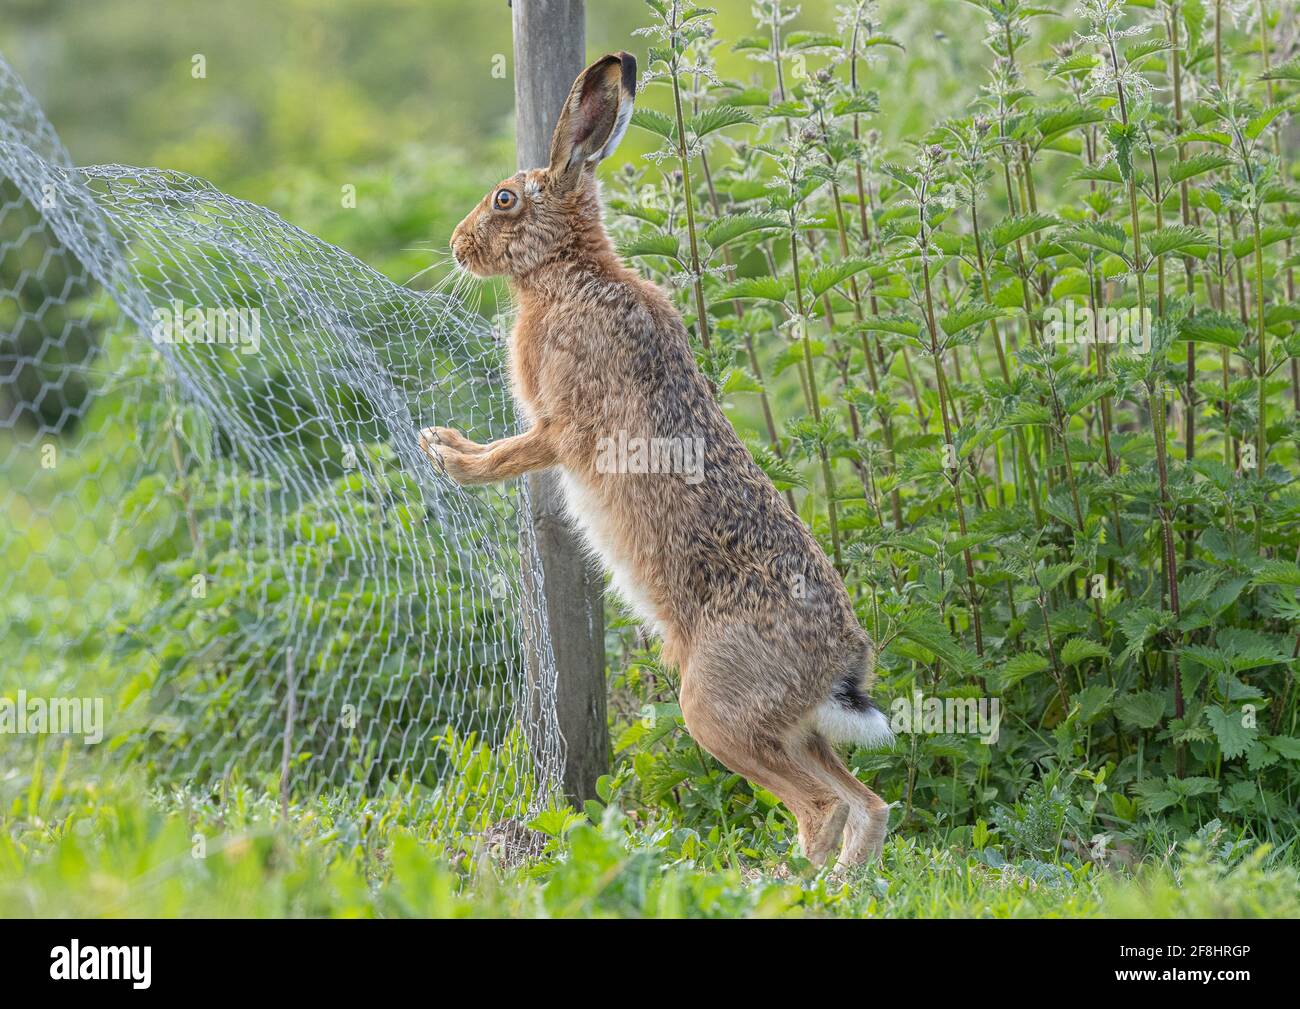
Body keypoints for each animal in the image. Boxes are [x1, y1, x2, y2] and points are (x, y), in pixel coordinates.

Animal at [419, 51, 892, 867]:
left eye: (505, 199)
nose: (457, 245)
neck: (568, 272)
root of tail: (842, 664)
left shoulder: (564, 424)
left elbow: (512, 453)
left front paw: (447, 456)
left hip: (716, 710)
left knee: (823, 807)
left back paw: (785, 881)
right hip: (793, 730)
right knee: (870, 805)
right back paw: (843, 883)